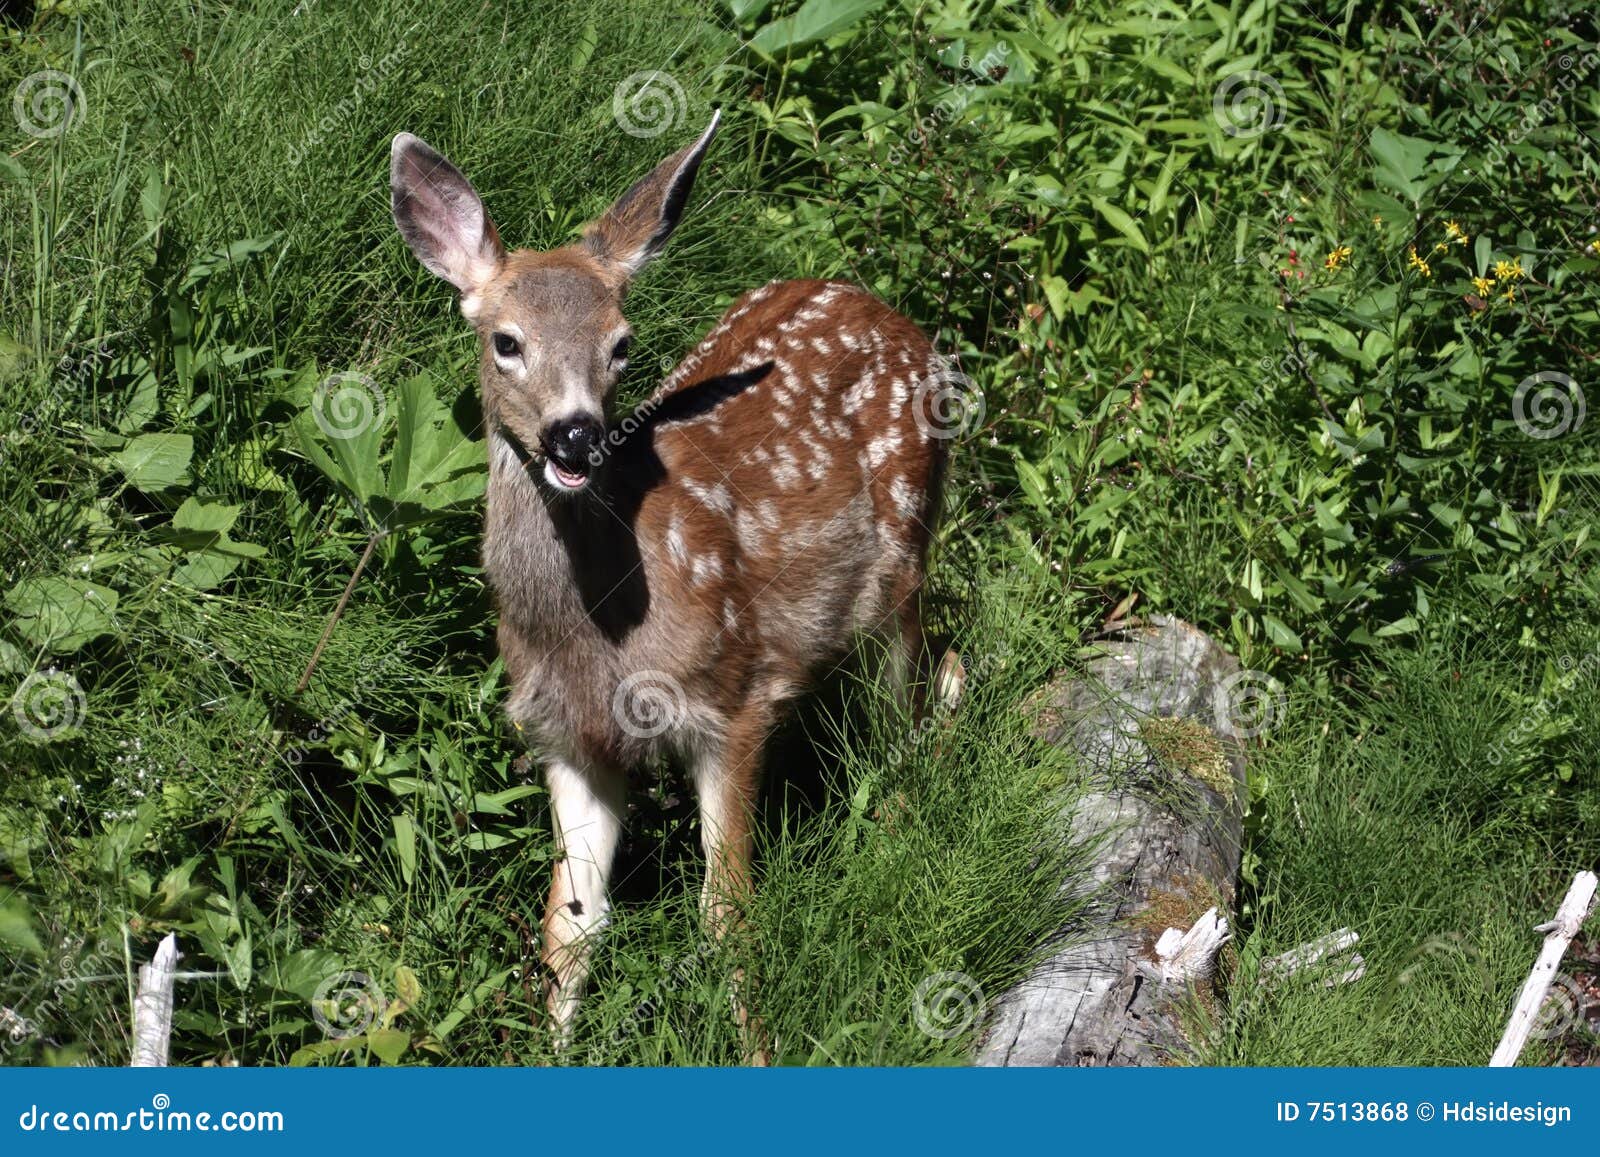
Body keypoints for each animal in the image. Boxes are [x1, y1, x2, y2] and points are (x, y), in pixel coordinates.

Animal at [389, 110, 954, 1058]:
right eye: (506, 342)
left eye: (621, 344)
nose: (576, 436)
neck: (598, 633)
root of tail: (888, 310)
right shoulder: (567, 737)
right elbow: (571, 927)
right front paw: (553, 1048)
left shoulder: (732, 698)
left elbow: (727, 915)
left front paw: (759, 1050)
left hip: (906, 563)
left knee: (903, 727)